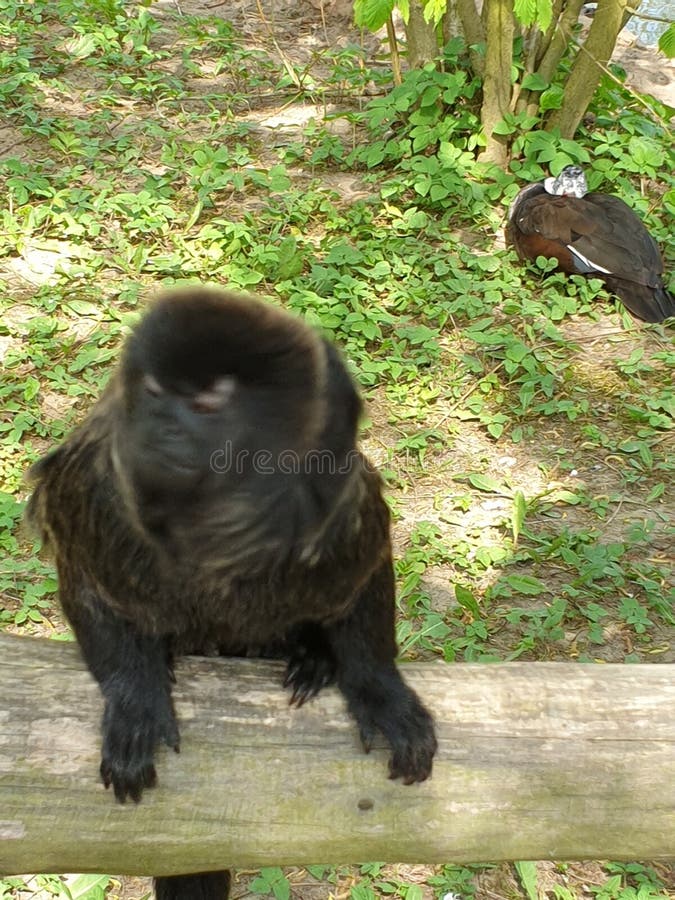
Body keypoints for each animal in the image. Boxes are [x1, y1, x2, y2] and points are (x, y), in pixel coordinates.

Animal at [27, 287, 438, 900]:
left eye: (207, 406)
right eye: (155, 395)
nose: (161, 430)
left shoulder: (334, 498)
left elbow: (364, 578)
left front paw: (380, 690)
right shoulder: (97, 491)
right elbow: (87, 583)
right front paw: (134, 699)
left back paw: (313, 656)